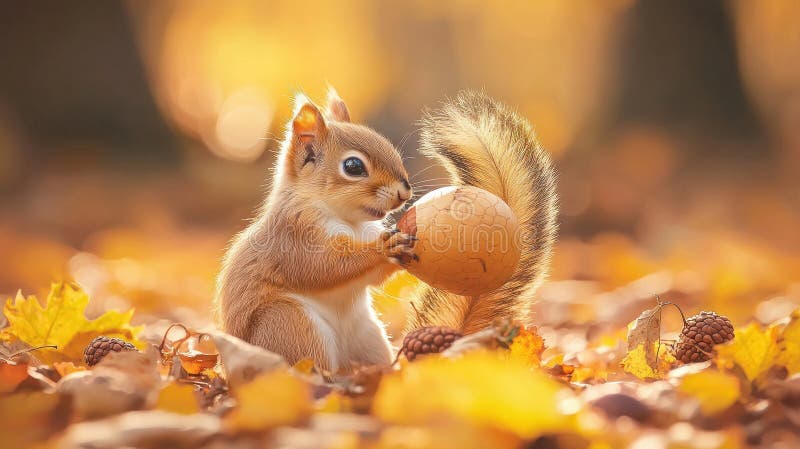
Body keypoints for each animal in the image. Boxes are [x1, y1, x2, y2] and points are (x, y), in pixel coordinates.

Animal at [215, 89, 557, 372]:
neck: (346, 219)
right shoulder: (294, 236)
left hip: (370, 340)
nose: (405, 192)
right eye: (353, 166)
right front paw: (384, 248)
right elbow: (323, 266)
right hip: (290, 325)